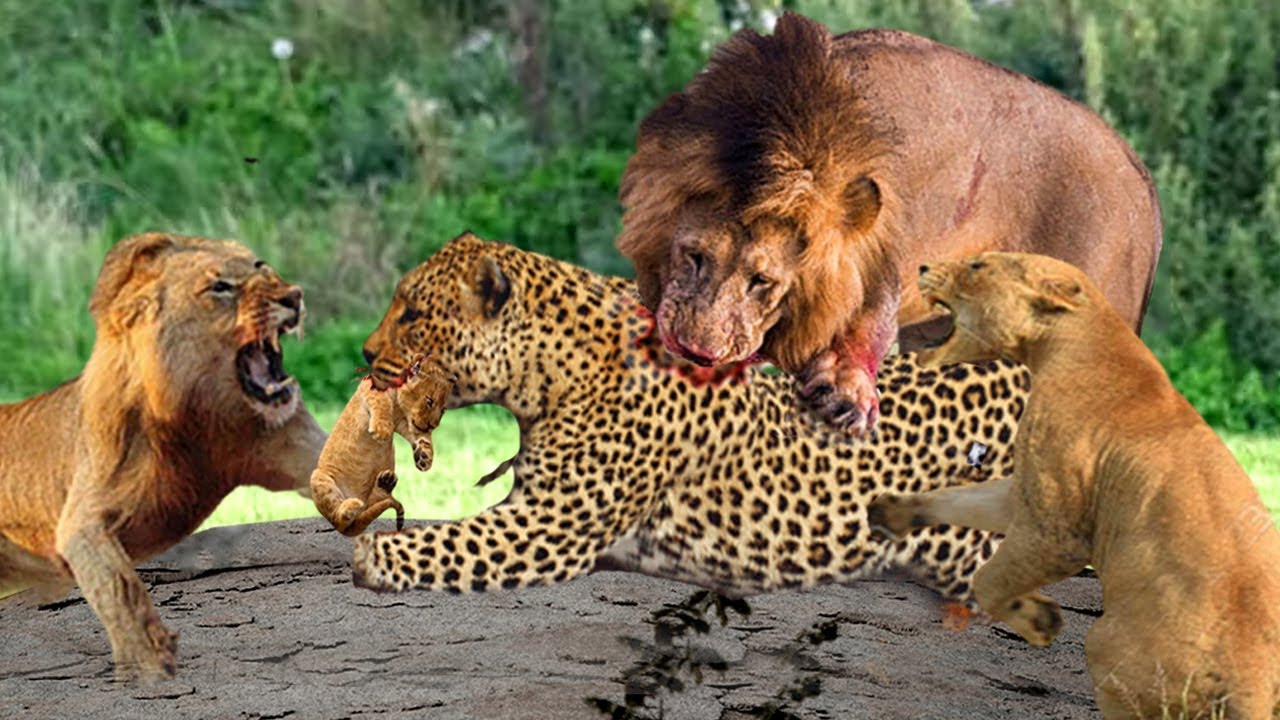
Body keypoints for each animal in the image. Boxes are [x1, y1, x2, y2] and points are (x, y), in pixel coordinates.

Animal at [0, 232, 327, 681]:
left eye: (261, 266)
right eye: (220, 287)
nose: (293, 296)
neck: (204, 422)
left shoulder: (297, 449)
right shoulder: (82, 525)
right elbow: (125, 595)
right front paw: (151, 669)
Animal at [310, 358, 453, 536]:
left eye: (443, 410)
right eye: (429, 401)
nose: (432, 426)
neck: (398, 407)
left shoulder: (404, 423)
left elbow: (421, 438)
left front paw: (424, 457)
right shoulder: (370, 388)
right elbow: (381, 400)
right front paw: (382, 430)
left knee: (377, 501)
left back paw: (385, 483)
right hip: (318, 478)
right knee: (339, 520)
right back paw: (350, 508)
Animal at [617, 13, 1162, 436]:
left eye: (763, 281)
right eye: (693, 255)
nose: (696, 351)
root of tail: (1139, 169)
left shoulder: (882, 249)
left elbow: (866, 319)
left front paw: (842, 395)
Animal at [868, 253, 1280, 719]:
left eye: (977, 266)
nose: (920, 267)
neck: (1080, 336)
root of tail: (1252, 685)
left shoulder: (1058, 529)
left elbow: (990, 578)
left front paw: (1041, 621)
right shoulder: (1027, 492)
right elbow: (960, 499)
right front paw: (887, 510)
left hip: (1106, 646)